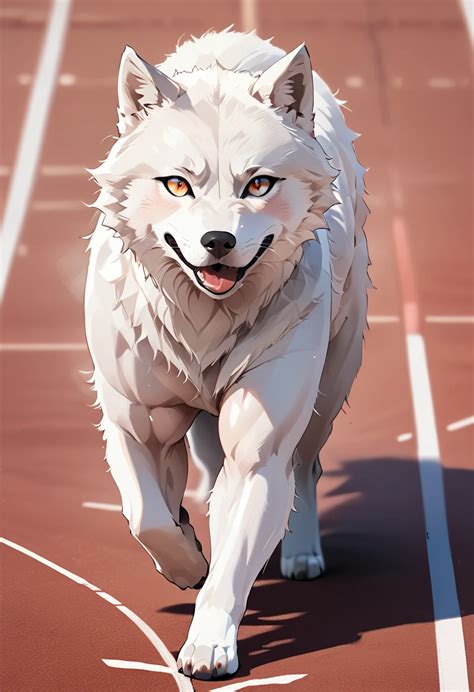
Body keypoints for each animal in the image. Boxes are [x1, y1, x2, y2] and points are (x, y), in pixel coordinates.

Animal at [84, 28, 370, 680]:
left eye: (258, 184)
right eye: (177, 184)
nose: (218, 241)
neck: (204, 324)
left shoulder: (259, 445)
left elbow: (241, 531)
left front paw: (209, 646)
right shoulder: (136, 422)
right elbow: (148, 516)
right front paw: (186, 562)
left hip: (326, 392)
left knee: (303, 469)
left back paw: (301, 555)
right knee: (210, 478)